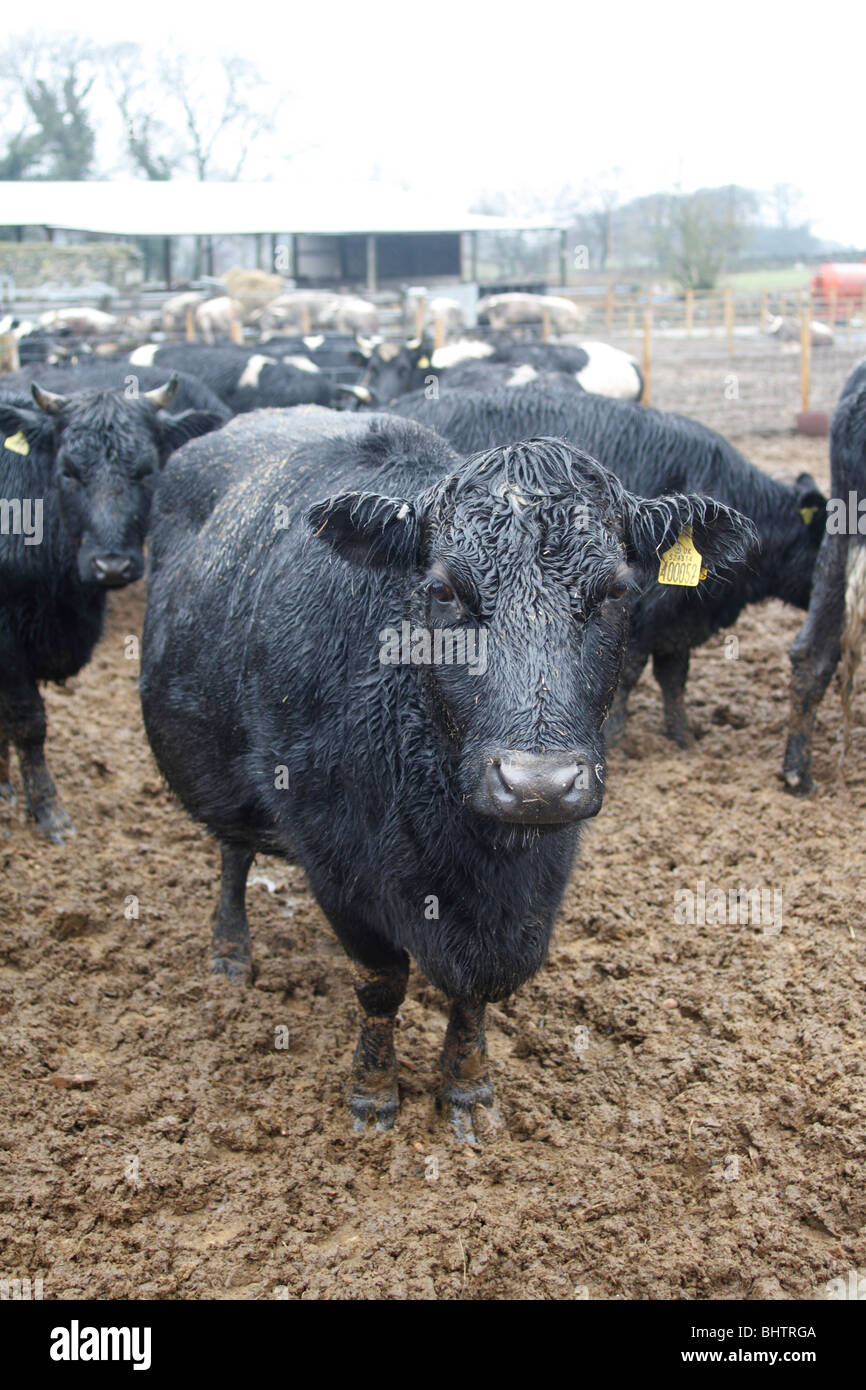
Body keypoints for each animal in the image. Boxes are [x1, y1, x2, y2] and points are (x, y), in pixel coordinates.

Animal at [0, 373, 224, 841]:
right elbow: (27, 722)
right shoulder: (6, 638)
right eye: (68, 472)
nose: (112, 565)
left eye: (146, 471)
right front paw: (48, 811)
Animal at [139, 406, 754, 1140]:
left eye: (616, 590)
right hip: (221, 778)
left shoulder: (538, 882)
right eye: (442, 590)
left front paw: (468, 1089)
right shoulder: (333, 856)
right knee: (233, 853)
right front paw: (373, 1093)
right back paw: (230, 951)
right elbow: (380, 983)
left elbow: (479, 990)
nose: (536, 784)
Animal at [388, 381, 827, 746]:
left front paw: (684, 736)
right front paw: (616, 735)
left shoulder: (676, 618)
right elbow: (628, 672)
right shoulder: (645, 609)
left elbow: (674, 678)